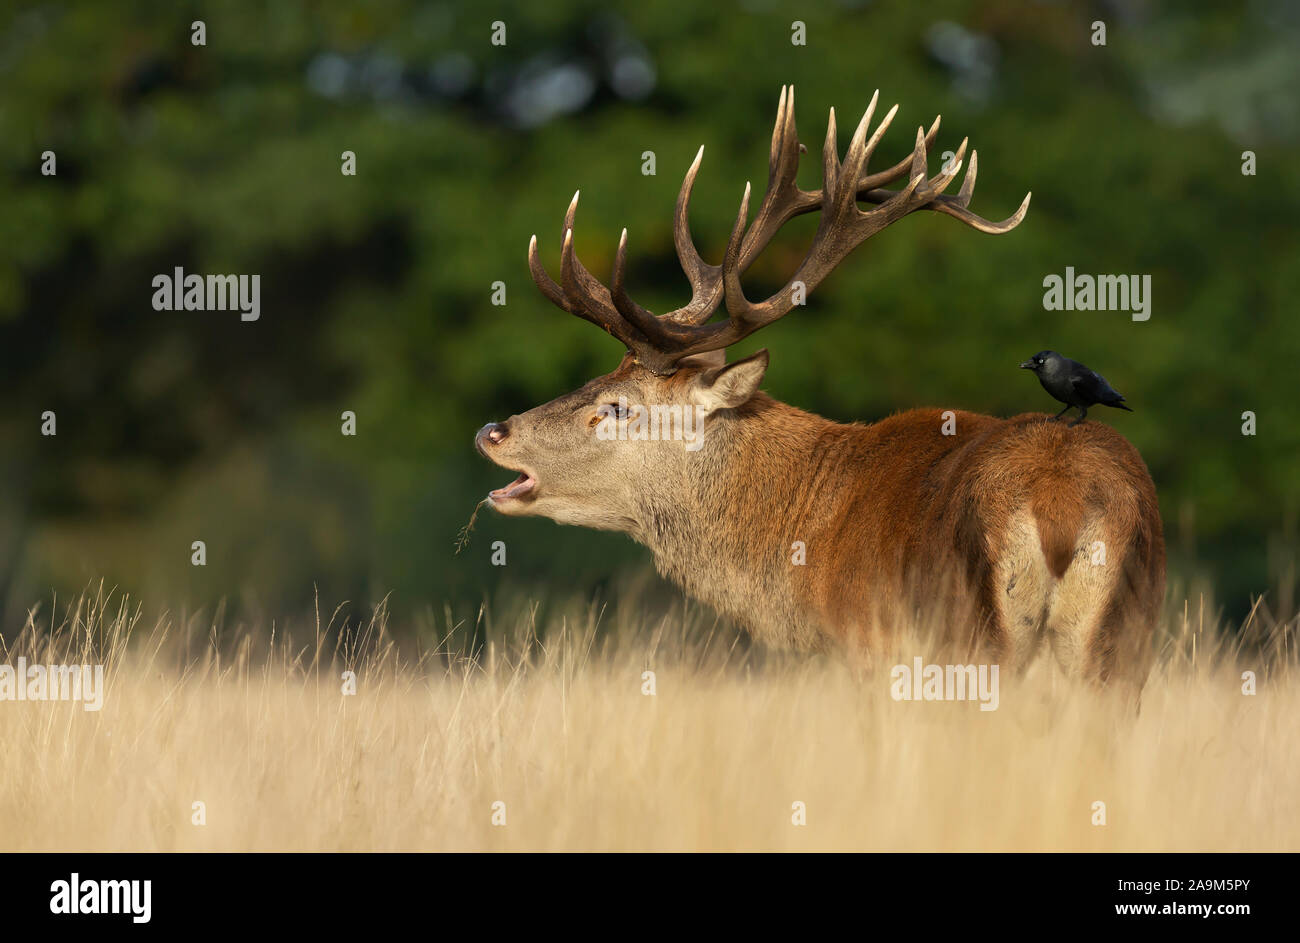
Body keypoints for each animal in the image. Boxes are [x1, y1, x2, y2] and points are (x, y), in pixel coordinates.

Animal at [475, 87, 1165, 696]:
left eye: (616, 407)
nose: (493, 431)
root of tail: (1059, 504)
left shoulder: (868, 650)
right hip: (1123, 640)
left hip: (970, 638)